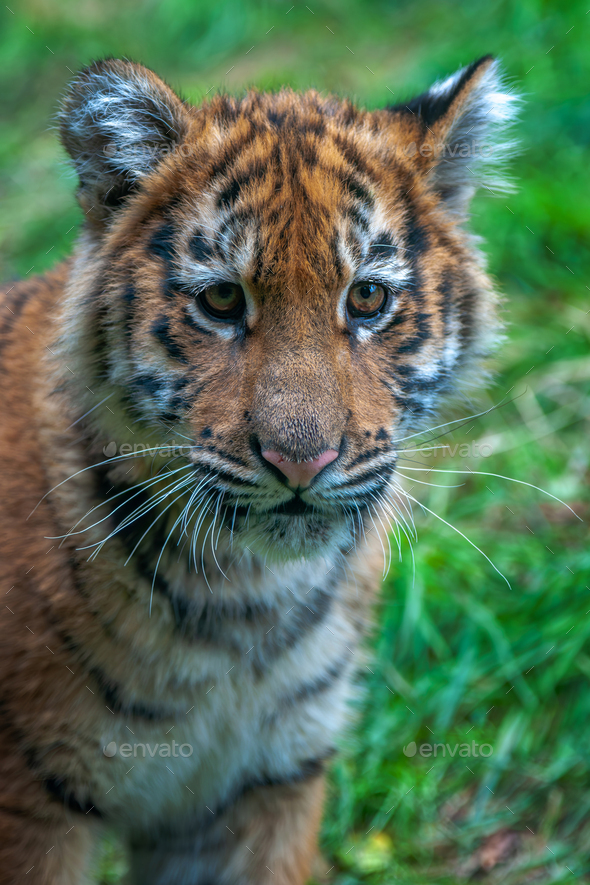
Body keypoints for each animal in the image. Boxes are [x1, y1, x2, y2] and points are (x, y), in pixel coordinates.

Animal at [0, 55, 518, 884]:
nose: (301, 458)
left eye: (367, 296)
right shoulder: (30, 806)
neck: (246, 608)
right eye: (220, 299)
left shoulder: (259, 787)